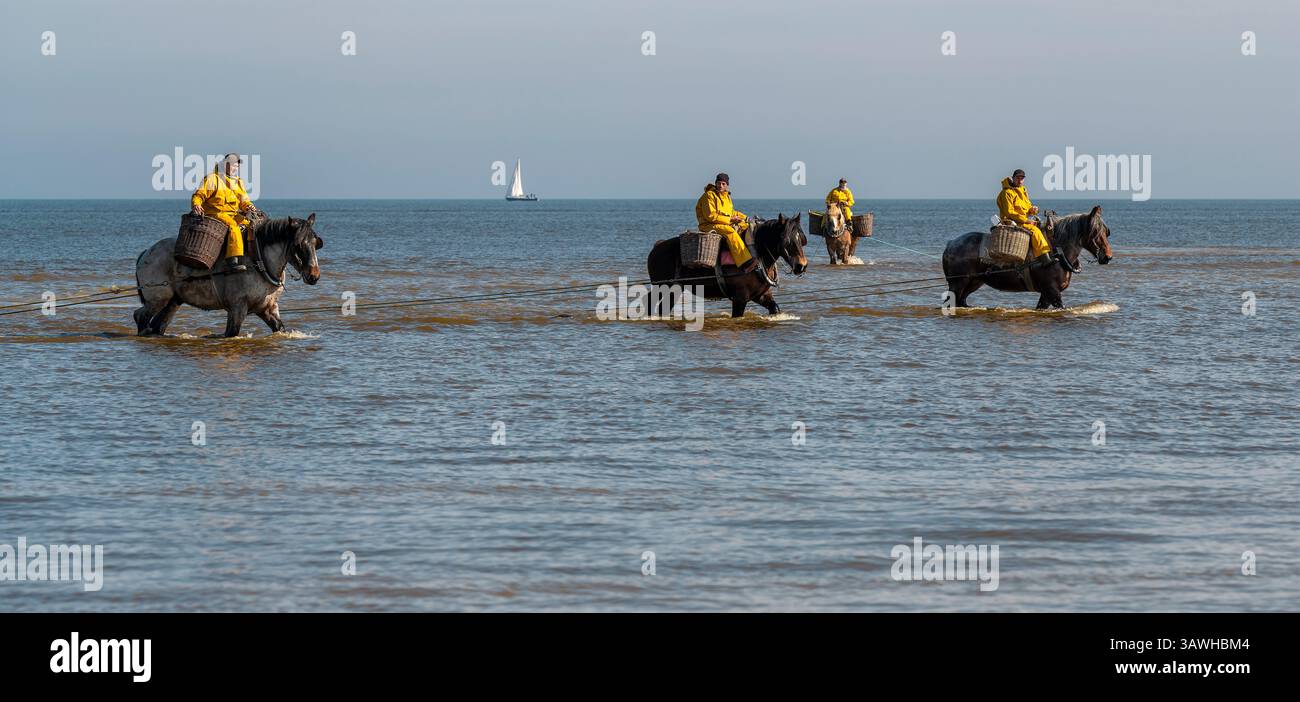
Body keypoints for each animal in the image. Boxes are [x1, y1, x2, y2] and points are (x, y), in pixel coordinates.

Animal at [133, 214, 324, 337]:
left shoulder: (267, 308)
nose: (314, 275)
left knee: (158, 325)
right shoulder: (237, 307)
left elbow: (280, 328)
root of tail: (146, 252)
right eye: (298, 245)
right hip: (157, 299)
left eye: (316, 243)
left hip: (173, 302)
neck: (259, 261)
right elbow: (231, 333)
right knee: (140, 316)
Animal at [647, 213, 808, 318]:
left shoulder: (762, 295)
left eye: (801, 239)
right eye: (786, 240)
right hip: (663, 286)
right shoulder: (740, 298)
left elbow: (775, 308)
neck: (757, 254)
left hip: (674, 289)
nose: (801, 265)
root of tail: (657, 246)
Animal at [941, 205, 1113, 309]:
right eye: (1095, 232)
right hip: (958, 283)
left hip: (974, 282)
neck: (1056, 251)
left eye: (1106, 232)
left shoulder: (1046, 294)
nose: (1108, 257)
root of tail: (951, 244)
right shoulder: (1053, 291)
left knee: (962, 301)